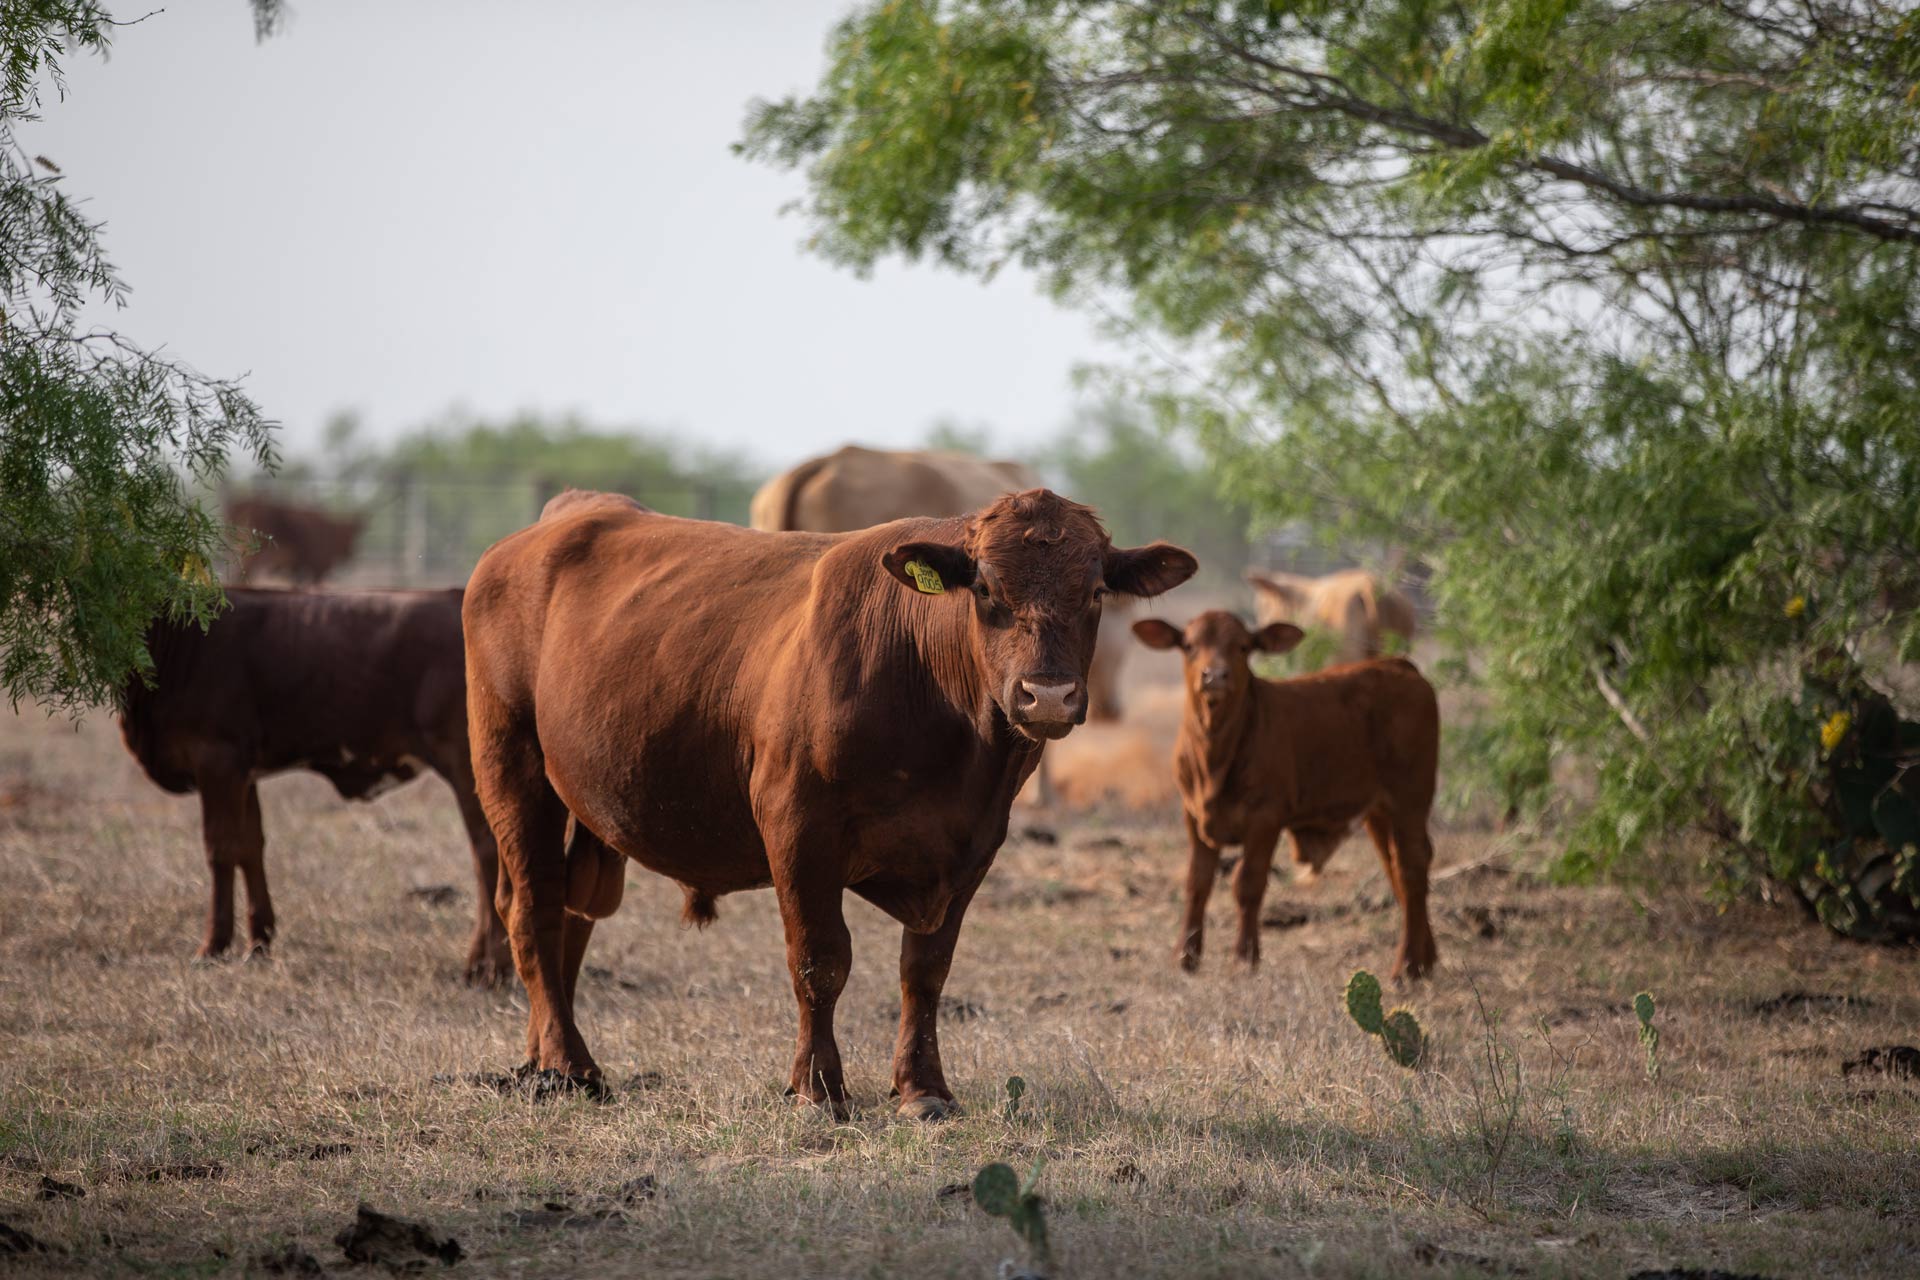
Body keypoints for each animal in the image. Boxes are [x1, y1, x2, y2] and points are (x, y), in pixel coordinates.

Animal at [118, 589, 511, 984]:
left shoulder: (217, 761)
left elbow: (220, 849)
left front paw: (213, 945)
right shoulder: (244, 774)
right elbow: (250, 847)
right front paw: (258, 942)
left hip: (469, 771)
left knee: (487, 853)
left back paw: (488, 966)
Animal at [464, 488, 1196, 1115]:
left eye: (1095, 590)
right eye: (986, 588)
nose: (1047, 695)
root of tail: (569, 513)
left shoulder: (974, 844)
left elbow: (925, 970)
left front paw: (923, 1089)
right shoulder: (797, 828)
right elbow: (821, 961)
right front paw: (818, 1088)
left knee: (571, 916)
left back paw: (549, 1059)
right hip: (511, 770)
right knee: (532, 912)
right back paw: (565, 1064)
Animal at [1131, 610, 1440, 980]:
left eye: (1243, 646)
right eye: (1189, 645)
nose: (1215, 675)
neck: (1214, 757)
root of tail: (1401, 666)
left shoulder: (1265, 818)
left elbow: (1248, 883)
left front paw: (1244, 957)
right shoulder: (1193, 817)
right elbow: (1197, 884)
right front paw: (1186, 957)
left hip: (1411, 797)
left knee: (1411, 867)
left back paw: (1406, 966)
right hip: (1379, 811)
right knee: (1396, 865)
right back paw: (1426, 959)